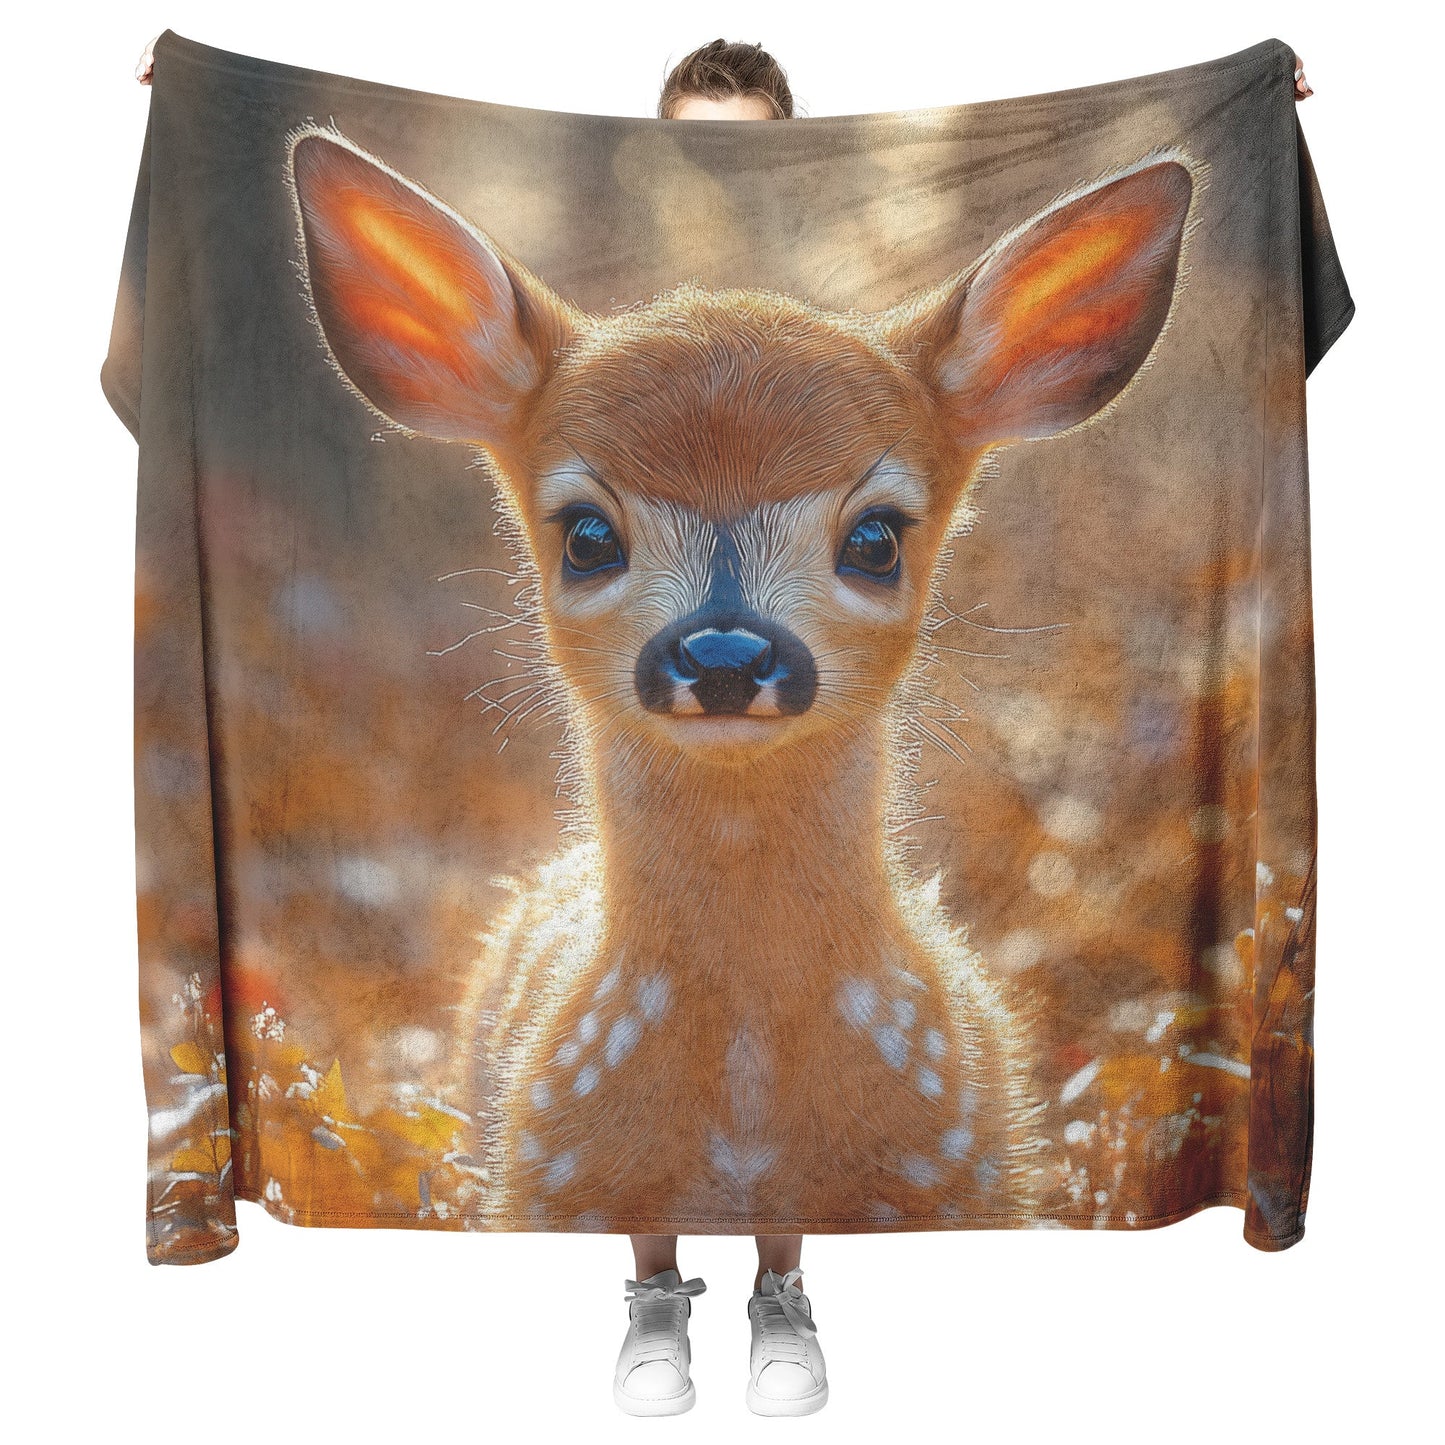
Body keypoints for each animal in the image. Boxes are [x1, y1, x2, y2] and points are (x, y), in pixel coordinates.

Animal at [286, 124, 1198, 1231]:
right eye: (587, 534)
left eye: (876, 537)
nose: (723, 656)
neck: (747, 1098)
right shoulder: (553, 1191)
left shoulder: (964, 1183)